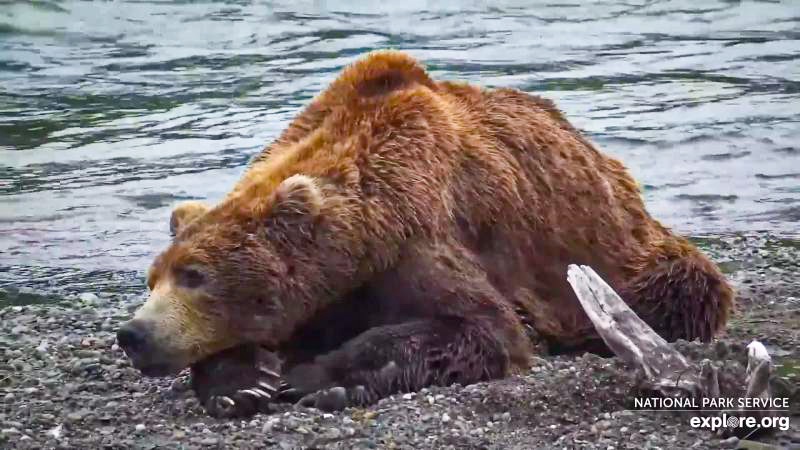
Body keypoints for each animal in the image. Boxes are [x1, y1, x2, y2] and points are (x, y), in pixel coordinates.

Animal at [117, 50, 734, 417]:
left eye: (195, 275)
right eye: (153, 278)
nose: (134, 334)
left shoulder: (424, 235)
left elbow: (478, 328)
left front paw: (320, 377)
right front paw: (246, 382)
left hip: (629, 252)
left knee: (681, 287)